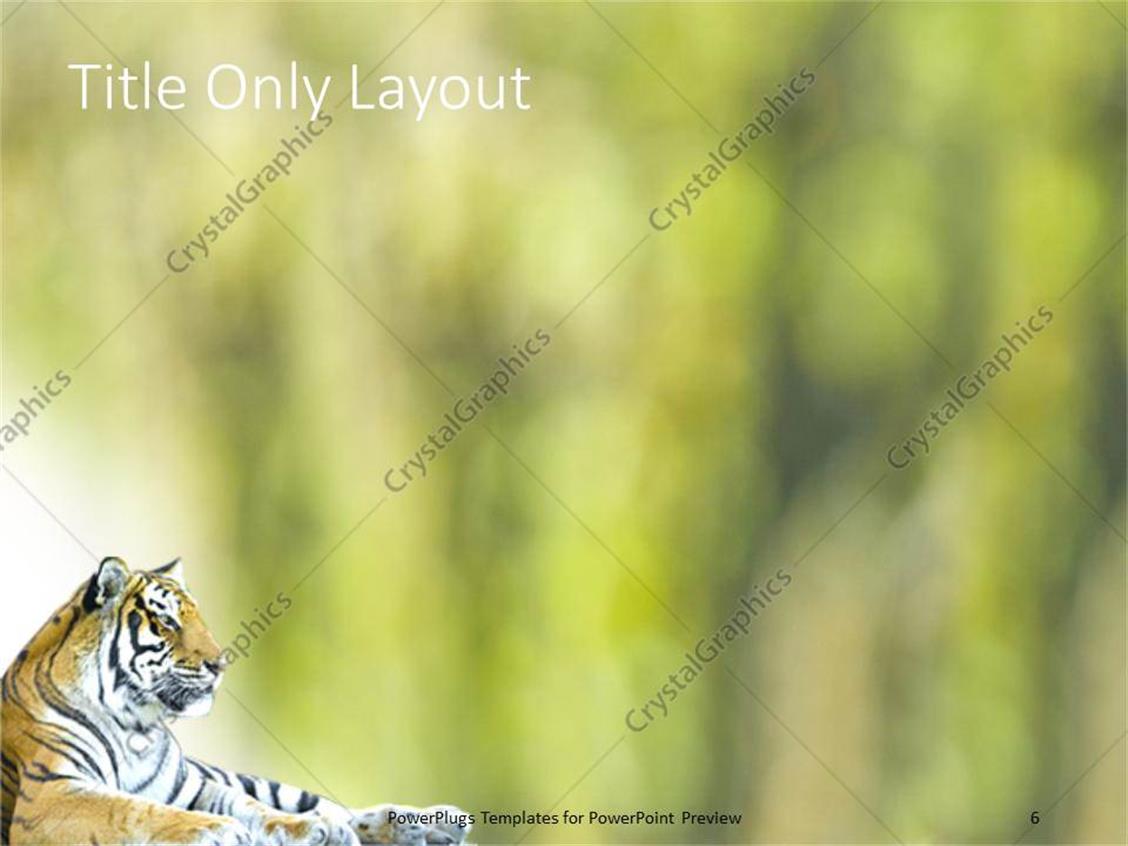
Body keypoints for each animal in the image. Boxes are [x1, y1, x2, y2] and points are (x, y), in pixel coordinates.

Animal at [1, 556, 473, 845]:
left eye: (198, 618)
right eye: (167, 621)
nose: (220, 663)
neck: (136, 723)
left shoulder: (194, 786)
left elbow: (251, 806)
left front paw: (312, 828)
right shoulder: (50, 794)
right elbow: (135, 809)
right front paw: (220, 830)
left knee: (333, 805)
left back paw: (432, 824)